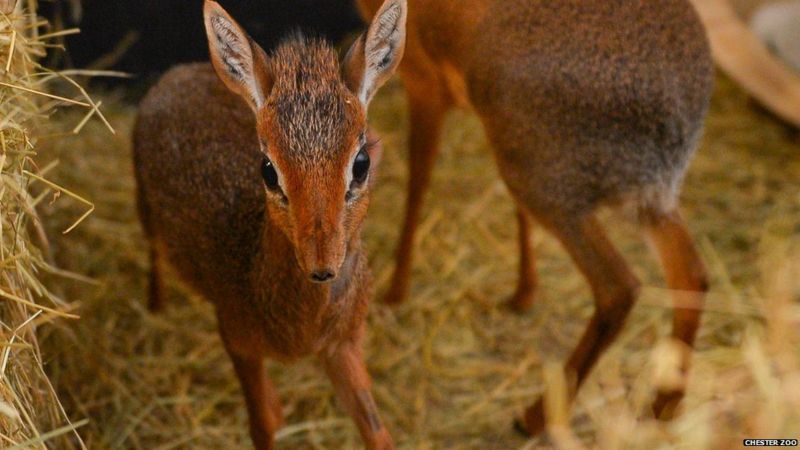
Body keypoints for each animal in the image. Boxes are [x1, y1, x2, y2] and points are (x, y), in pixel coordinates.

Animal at [132, 0, 406, 448]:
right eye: (268, 169)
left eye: (362, 162)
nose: (322, 264)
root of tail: (178, 73)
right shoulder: (238, 340)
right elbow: (262, 425)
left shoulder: (344, 344)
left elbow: (376, 430)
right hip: (145, 212)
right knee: (154, 257)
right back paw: (156, 308)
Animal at [356, 0, 713, 435]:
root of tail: (678, 118)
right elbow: (515, 214)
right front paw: (524, 292)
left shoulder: (423, 80)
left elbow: (417, 179)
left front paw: (394, 291)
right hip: (639, 196)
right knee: (692, 275)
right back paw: (664, 407)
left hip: (551, 184)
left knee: (620, 287)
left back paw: (536, 416)